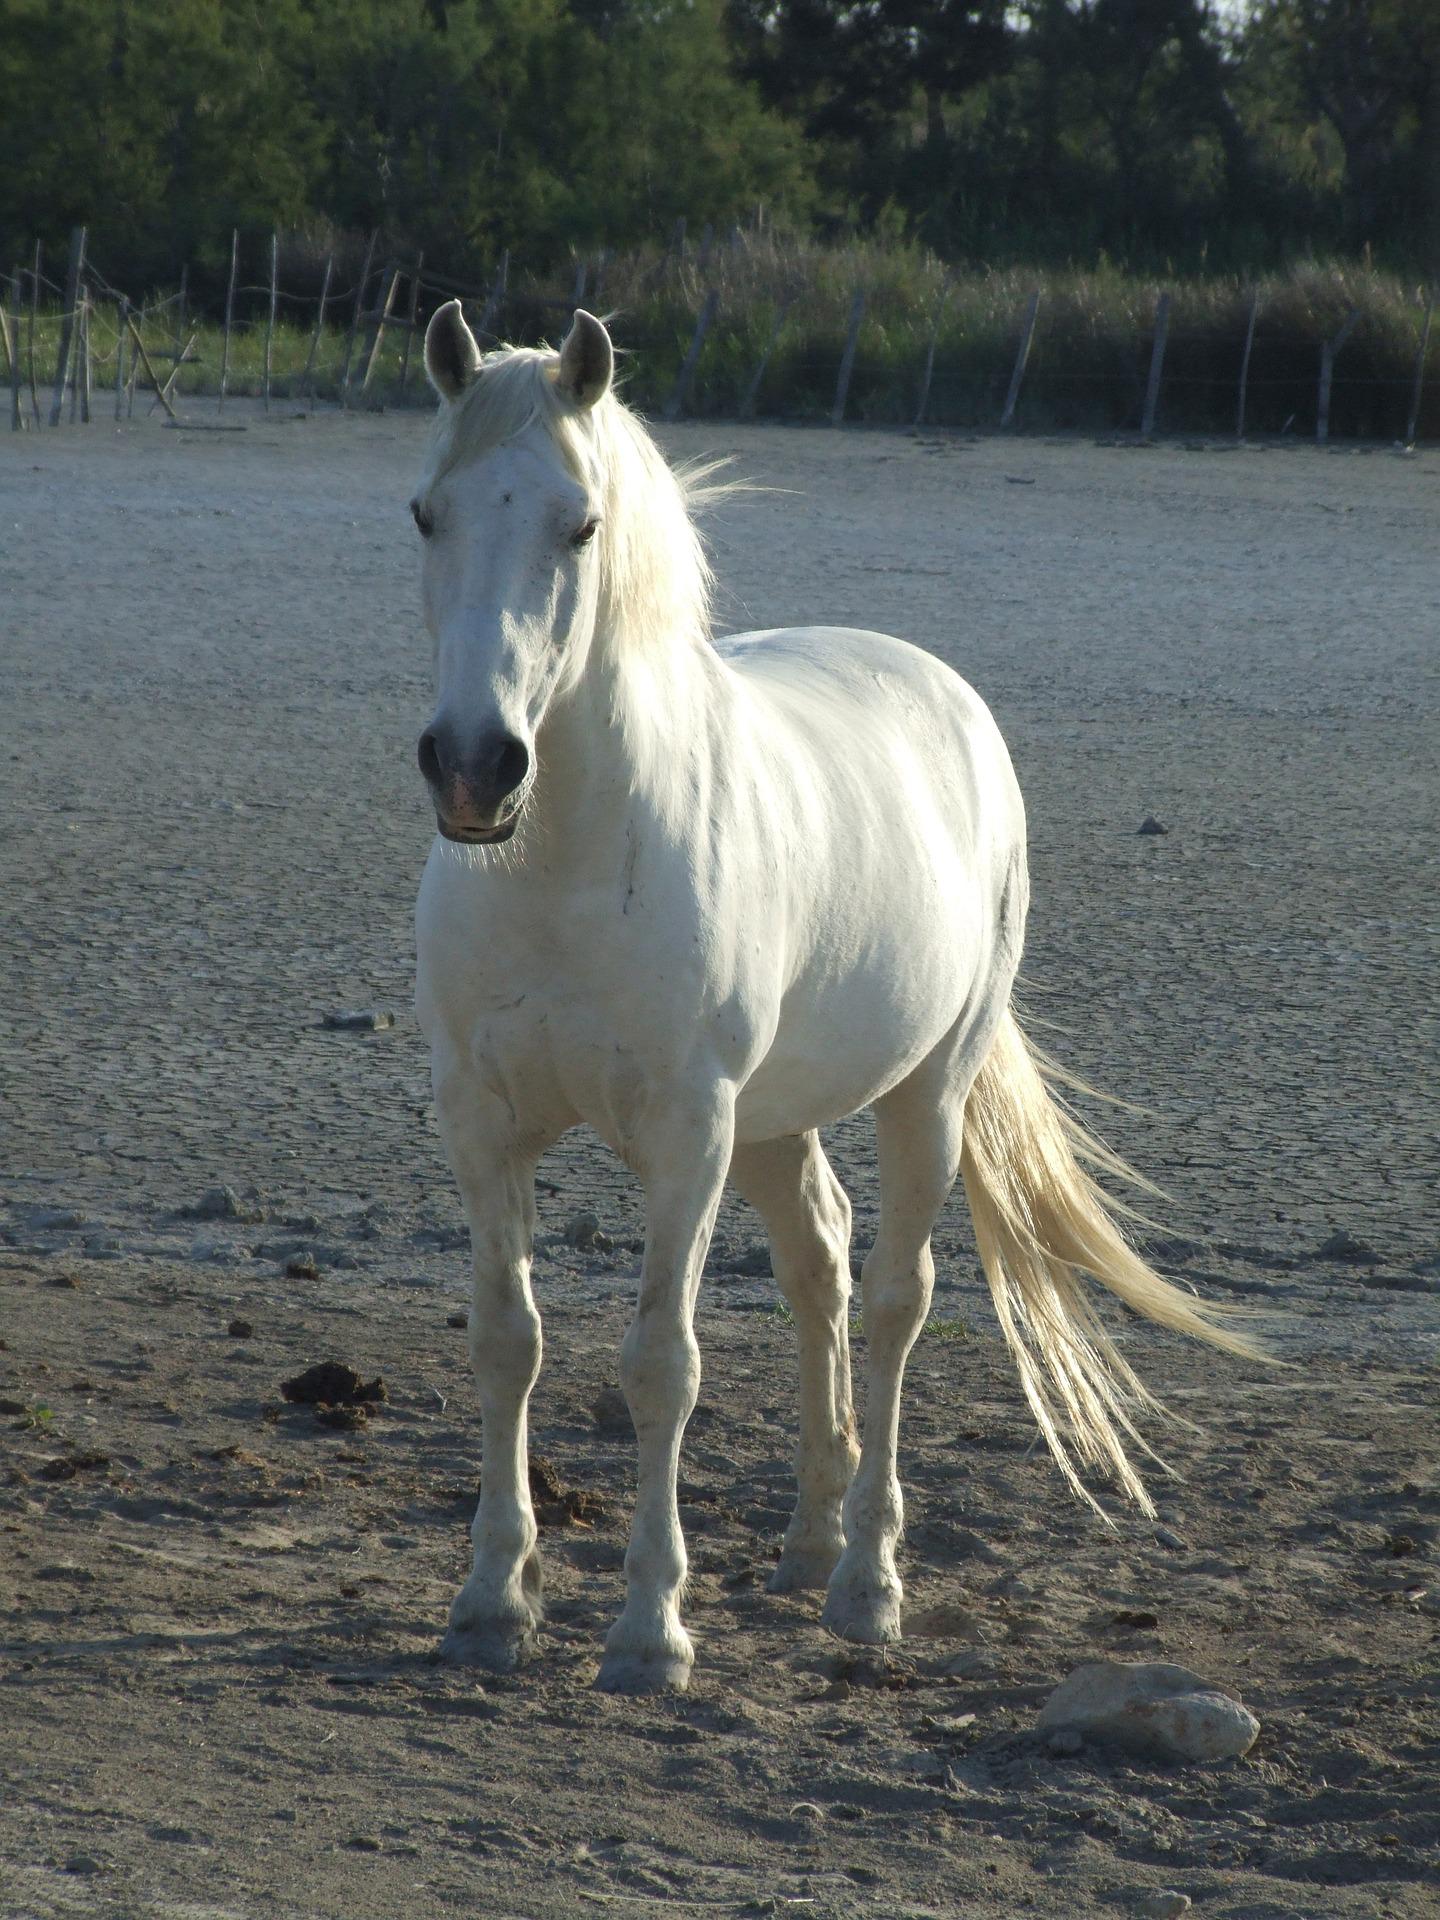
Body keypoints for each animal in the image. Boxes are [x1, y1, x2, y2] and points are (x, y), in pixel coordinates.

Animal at [409, 302, 1258, 1694]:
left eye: (580, 524)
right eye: (428, 512)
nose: (475, 764)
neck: (570, 860)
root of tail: (942, 693)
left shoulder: (687, 1135)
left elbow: (663, 1364)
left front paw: (650, 1630)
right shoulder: (482, 1122)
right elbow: (504, 1340)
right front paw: (491, 1601)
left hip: (925, 1097)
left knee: (896, 1299)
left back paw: (866, 1583)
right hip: (773, 1121)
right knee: (818, 1263)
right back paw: (808, 1545)